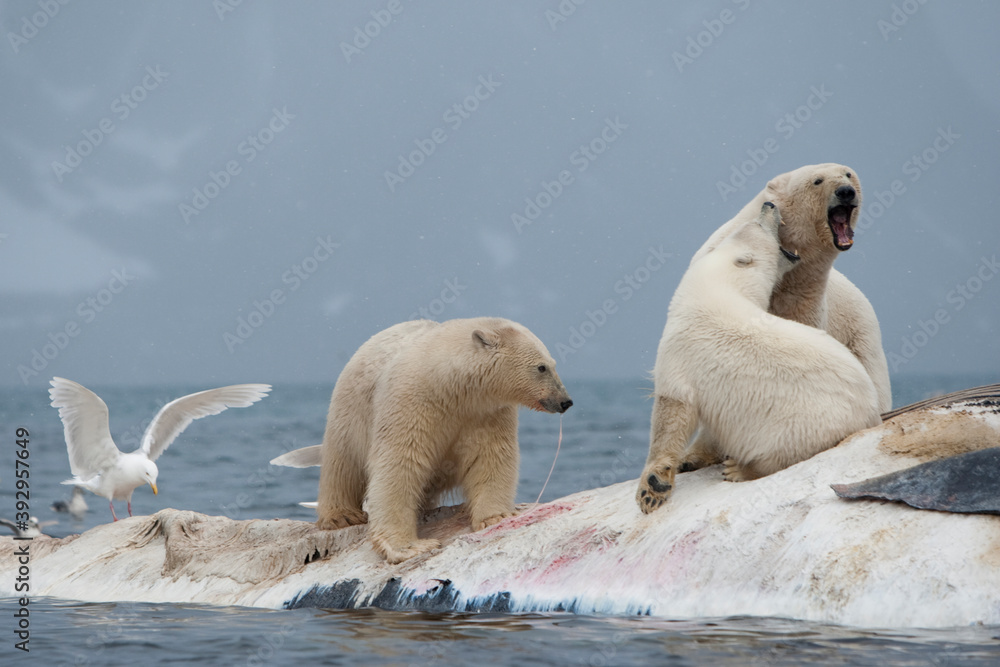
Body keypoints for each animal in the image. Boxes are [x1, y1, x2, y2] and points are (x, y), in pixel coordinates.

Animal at [315, 317, 573, 563]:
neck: (450, 383)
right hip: (350, 412)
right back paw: (342, 515)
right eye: (542, 367)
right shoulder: (412, 402)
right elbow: (400, 464)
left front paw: (496, 517)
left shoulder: (486, 413)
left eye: (553, 364)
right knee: (342, 465)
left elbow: (490, 458)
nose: (565, 401)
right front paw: (409, 547)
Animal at [636, 202, 881, 513]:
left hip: (807, 423)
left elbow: (672, 410)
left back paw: (739, 469)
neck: (718, 290)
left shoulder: (679, 349)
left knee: (785, 451)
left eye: (755, 225)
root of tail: (872, 415)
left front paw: (653, 486)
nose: (769, 205)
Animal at [680, 163, 891, 471]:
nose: (845, 191)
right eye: (818, 181)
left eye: (848, 174)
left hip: (861, 332)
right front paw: (693, 458)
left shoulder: (804, 295)